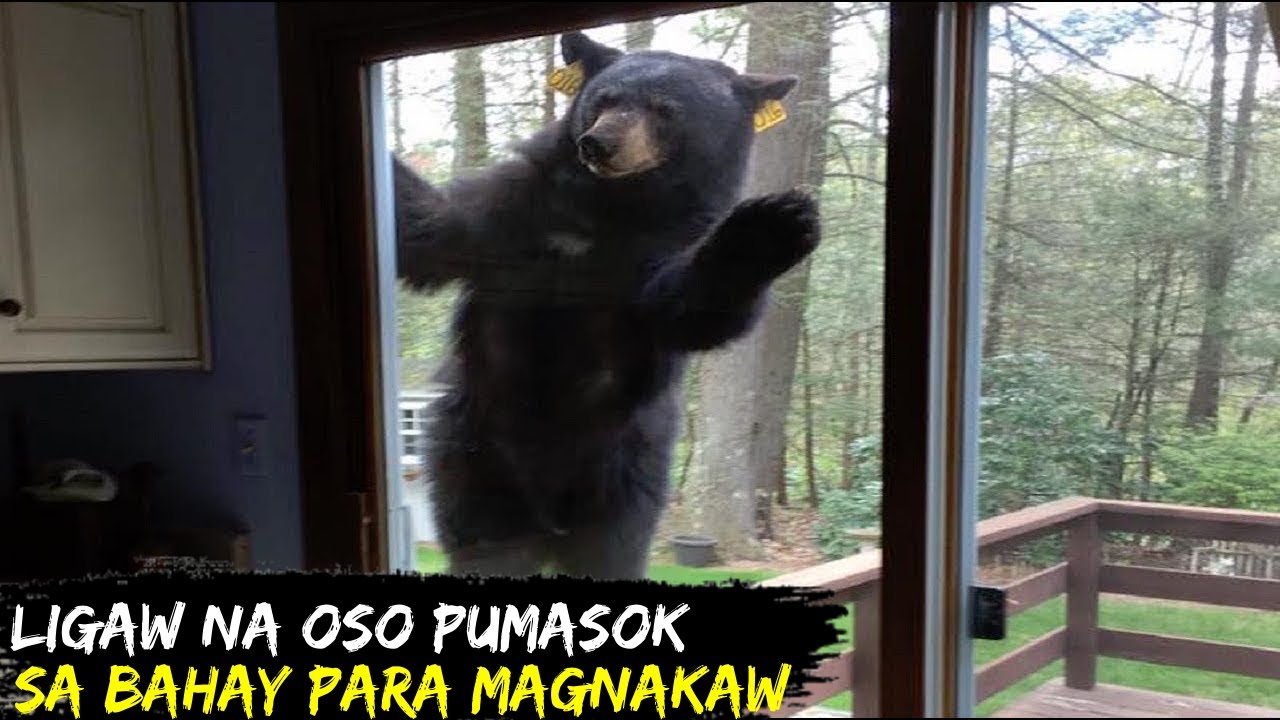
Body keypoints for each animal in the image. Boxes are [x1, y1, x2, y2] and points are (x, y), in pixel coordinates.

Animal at [393, 30, 820, 580]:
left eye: (665, 109)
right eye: (604, 100)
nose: (598, 143)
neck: (611, 209)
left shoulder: (660, 250)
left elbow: (689, 312)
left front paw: (767, 228)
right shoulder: (511, 213)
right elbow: (431, 229)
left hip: (625, 475)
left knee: (613, 549)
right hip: (471, 457)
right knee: (483, 541)